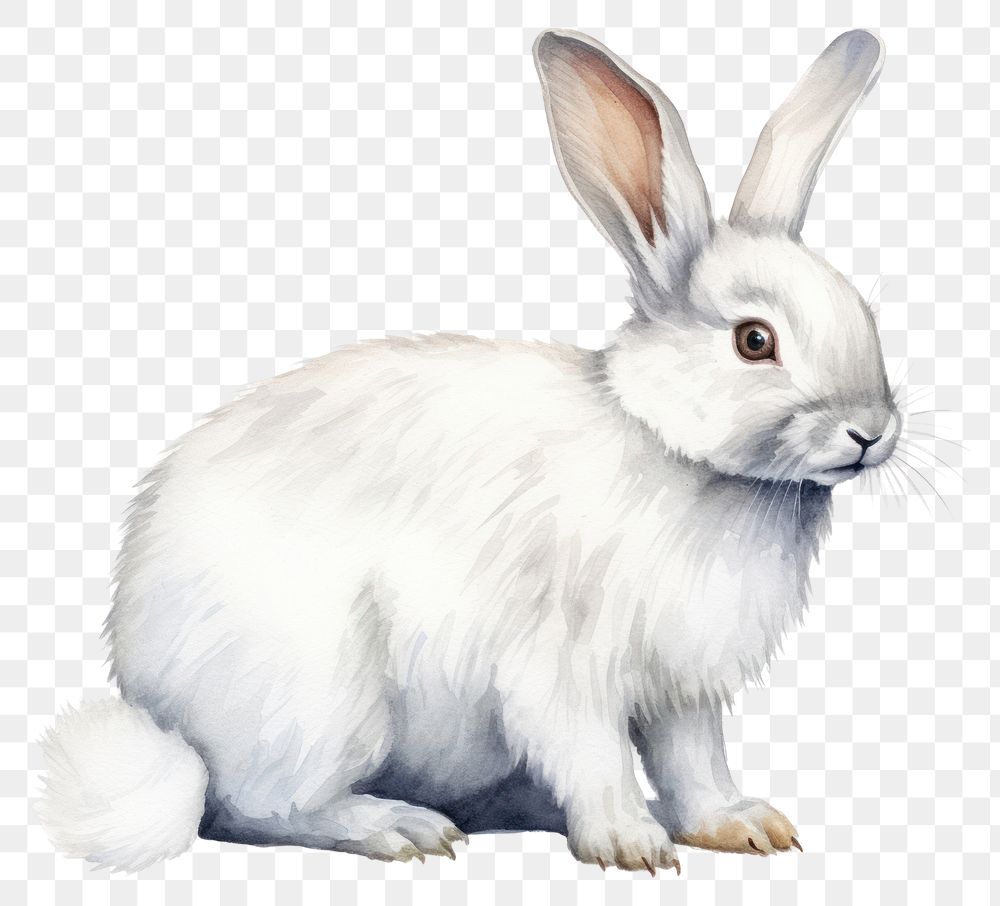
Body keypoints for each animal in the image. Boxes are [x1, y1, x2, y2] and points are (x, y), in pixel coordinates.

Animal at [38, 28, 898, 875]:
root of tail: (169, 716)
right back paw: (400, 828)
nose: (871, 430)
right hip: (324, 698)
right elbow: (594, 754)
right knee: (259, 805)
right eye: (755, 341)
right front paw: (630, 845)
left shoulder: (683, 690)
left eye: (864, 311)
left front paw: (740, 827)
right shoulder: (560, 666)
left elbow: (694, 763)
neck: (677, 450)